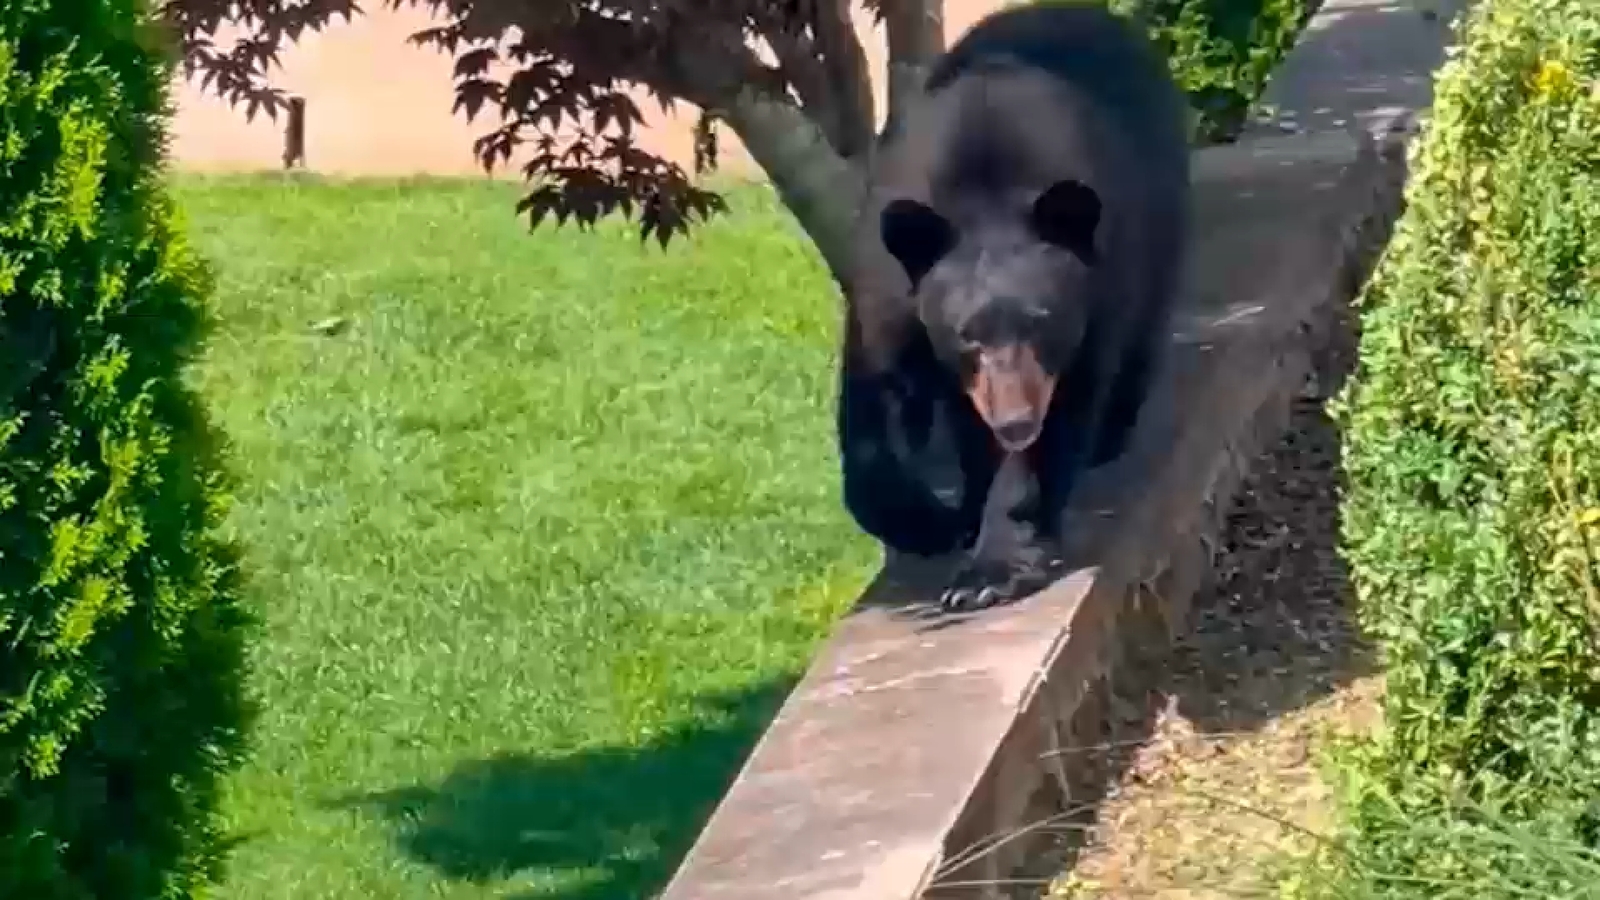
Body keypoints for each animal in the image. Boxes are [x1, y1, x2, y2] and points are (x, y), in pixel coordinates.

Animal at [838, 0, 1192, 611]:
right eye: (965, 335)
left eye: (1041, 324)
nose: (1015, 421)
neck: (985, 194)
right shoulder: (888, 290)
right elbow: (877, 405)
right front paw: (931, 522)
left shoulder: (1096, 309)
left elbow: (1061, 418)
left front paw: (990, 570)